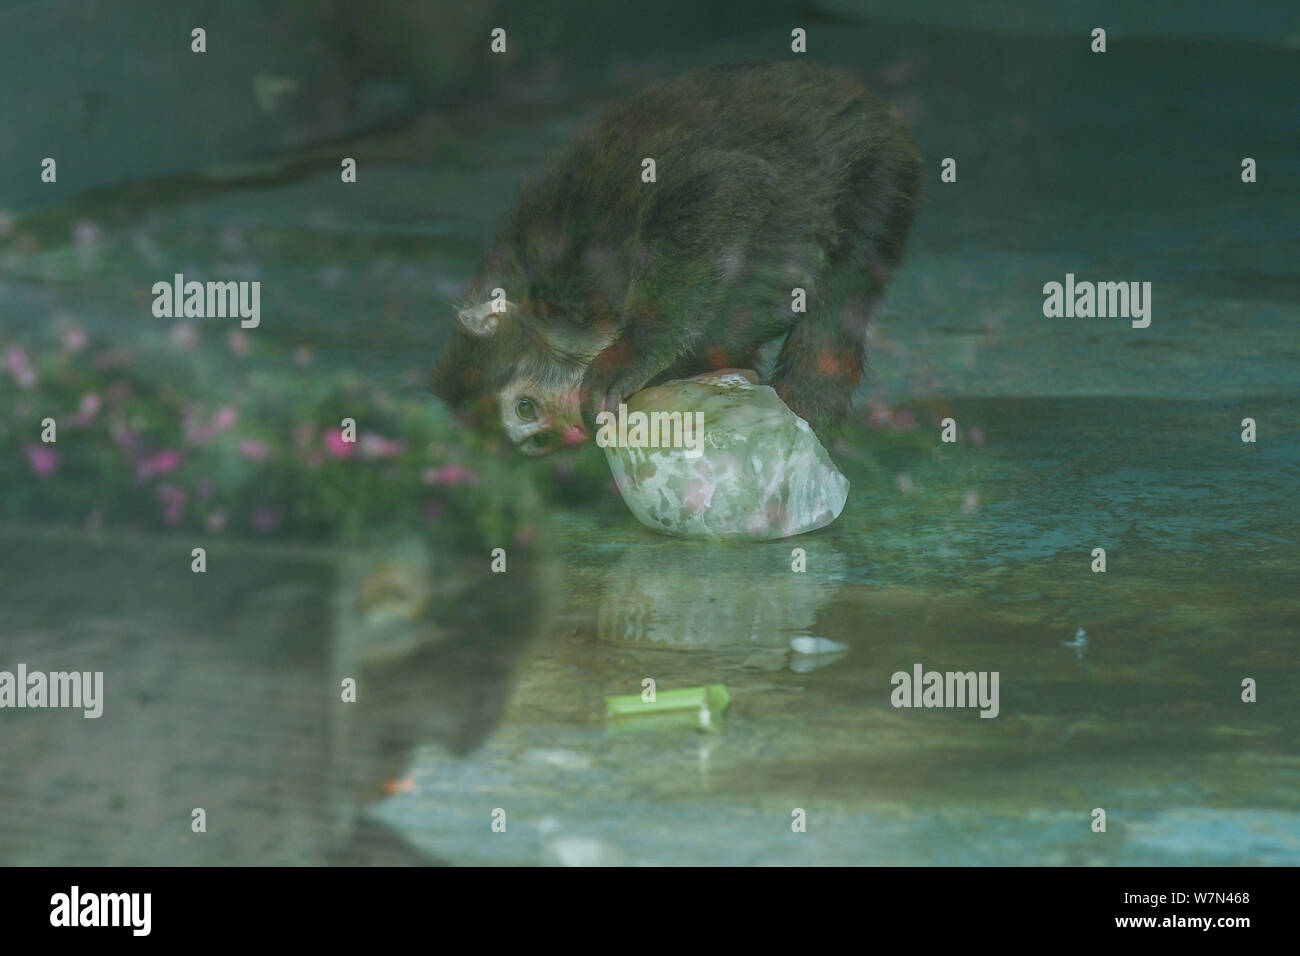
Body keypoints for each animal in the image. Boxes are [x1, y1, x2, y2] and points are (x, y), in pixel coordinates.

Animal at [432, 61, 921, 456]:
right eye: (538, 438)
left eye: (525, 407)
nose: (564, 433)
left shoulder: (575, 275)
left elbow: (727, 184)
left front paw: (634, 351)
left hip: (883, 163)